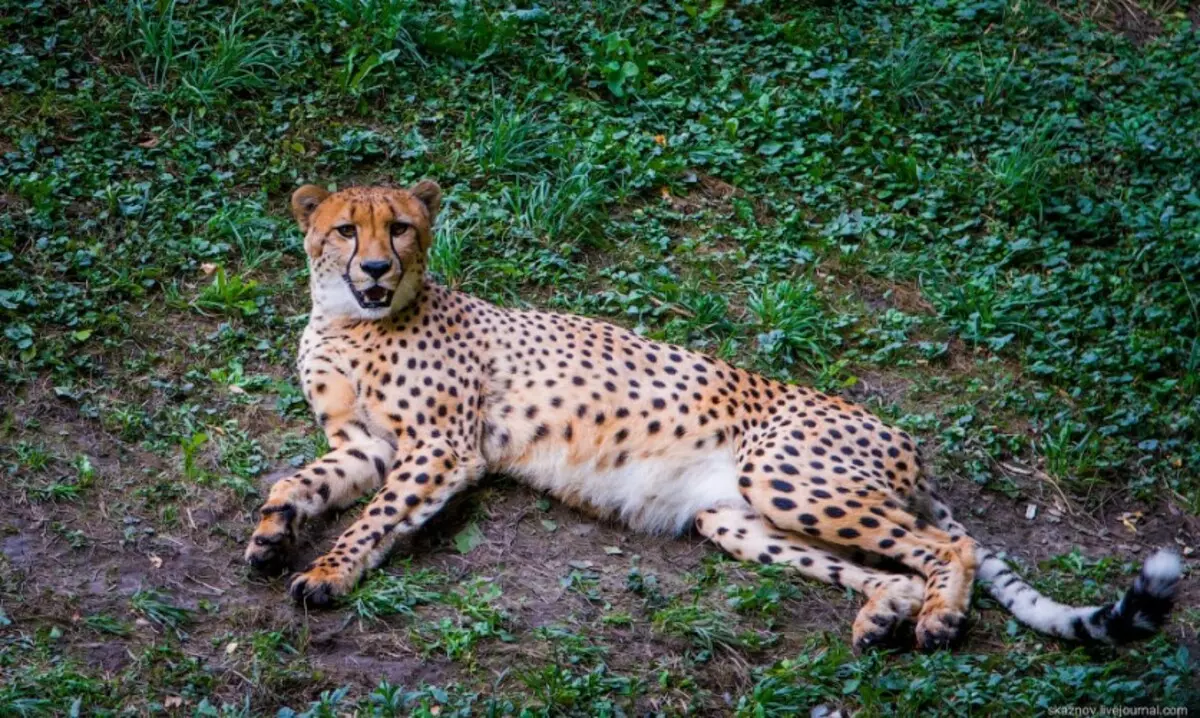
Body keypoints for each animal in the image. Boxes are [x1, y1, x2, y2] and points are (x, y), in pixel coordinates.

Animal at [243, 181, 1180, 653]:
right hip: (733, 519)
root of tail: (901, 439)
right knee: (899, 565)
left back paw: (942, 619)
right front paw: (271, 531)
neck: (350, 320)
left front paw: (327, 573)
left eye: (400, 228)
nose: (374, 268)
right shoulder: (368, 444)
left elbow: (372, 518)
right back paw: (886, 613)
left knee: (952, 545)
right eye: (344, 230)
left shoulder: (440, 447)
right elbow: (302, 478)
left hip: (789, 475)